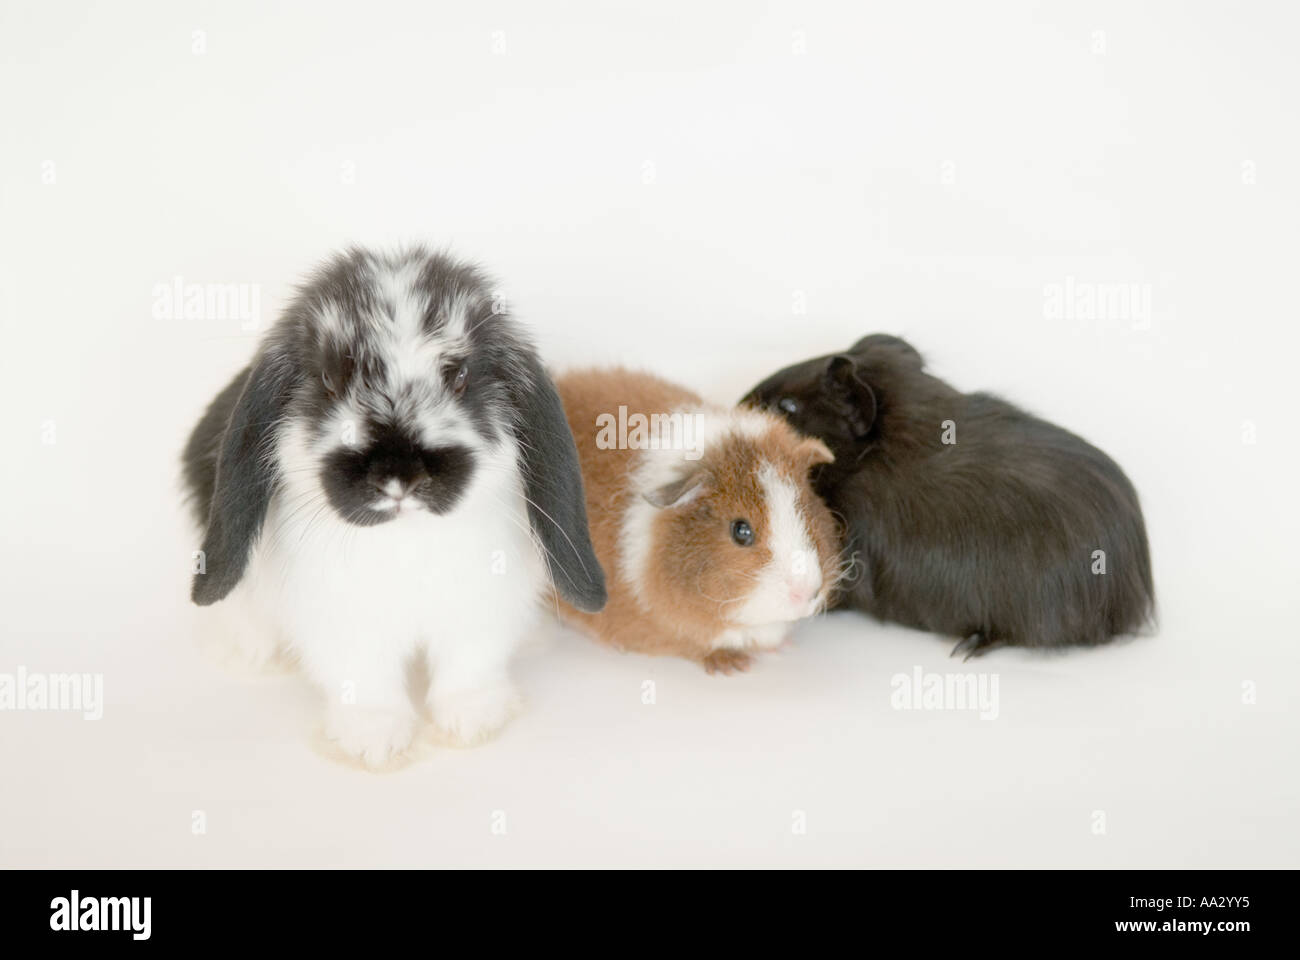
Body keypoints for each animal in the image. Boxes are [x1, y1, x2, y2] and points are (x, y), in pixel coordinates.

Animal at [182, 246, 606, 767]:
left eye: (459, 376)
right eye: (328, 378)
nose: (399, 476)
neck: (407, 538)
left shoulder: (482, 609)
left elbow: (469, 666)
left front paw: (471, 723)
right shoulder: (340, 622)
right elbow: (364, 681)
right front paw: (374, 743)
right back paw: (247, 655)